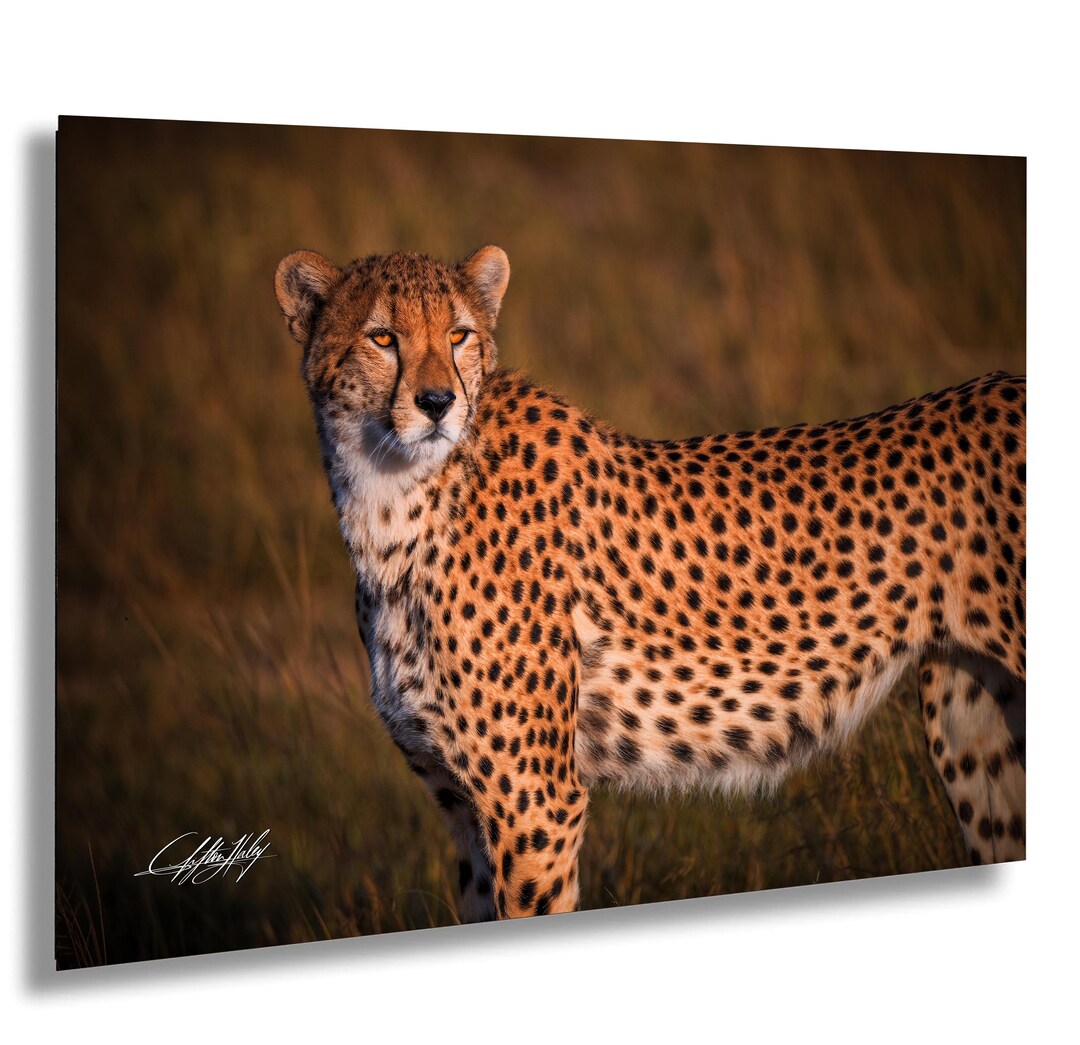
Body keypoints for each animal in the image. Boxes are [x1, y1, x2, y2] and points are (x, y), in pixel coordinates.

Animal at [275, 243, 1026, 922]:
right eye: (382, 337)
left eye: (458, 334)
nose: (437, 402)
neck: (390, 500)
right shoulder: (464, 806)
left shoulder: (534, 800)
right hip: (975, 727)